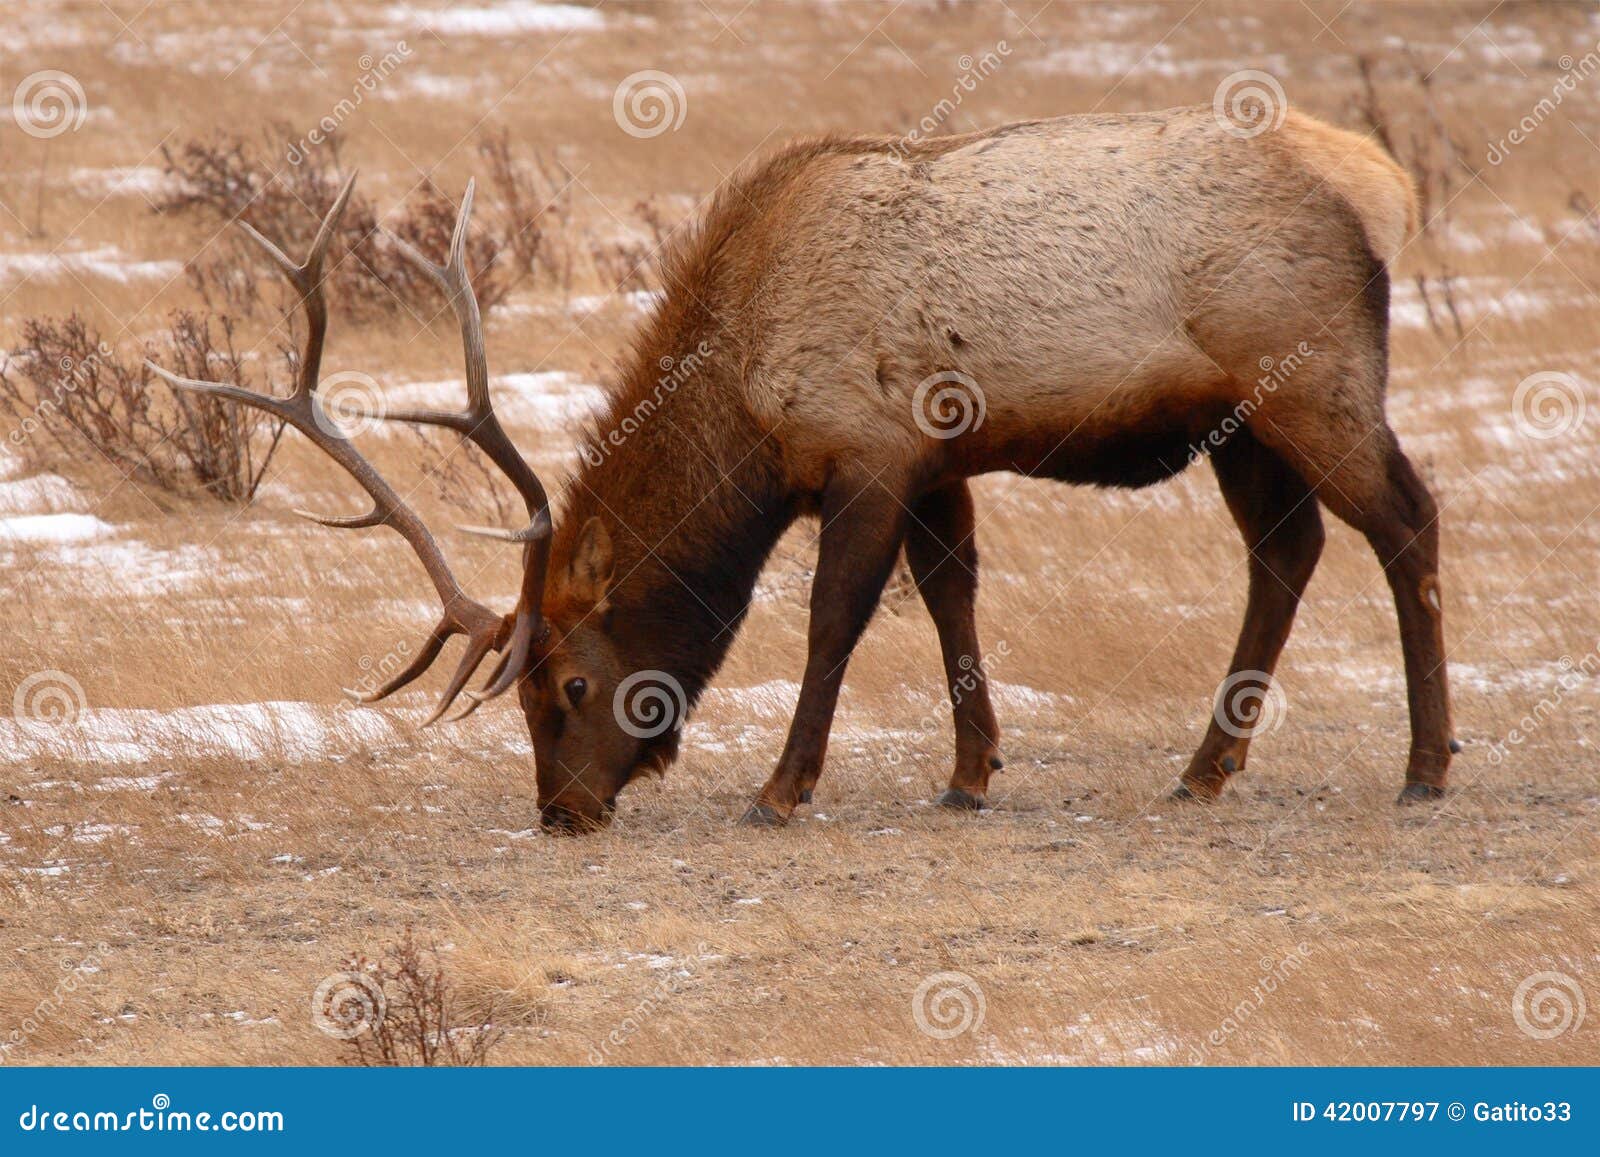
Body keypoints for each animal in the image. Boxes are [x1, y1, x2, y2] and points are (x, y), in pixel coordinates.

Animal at [152, 104, 1457, 834]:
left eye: (568, 683)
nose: (561, 812)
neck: (743, 382)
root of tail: (1384, 185)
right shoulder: (936, 456)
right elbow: (952, 595)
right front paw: (969, 772)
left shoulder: (865, 446)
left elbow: (836, 616)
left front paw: (780, 788)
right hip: (1241, 420)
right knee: (1286, 550)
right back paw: (1203, 768)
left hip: (1309, 374)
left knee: (1406, 520)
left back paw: (1424, 764)